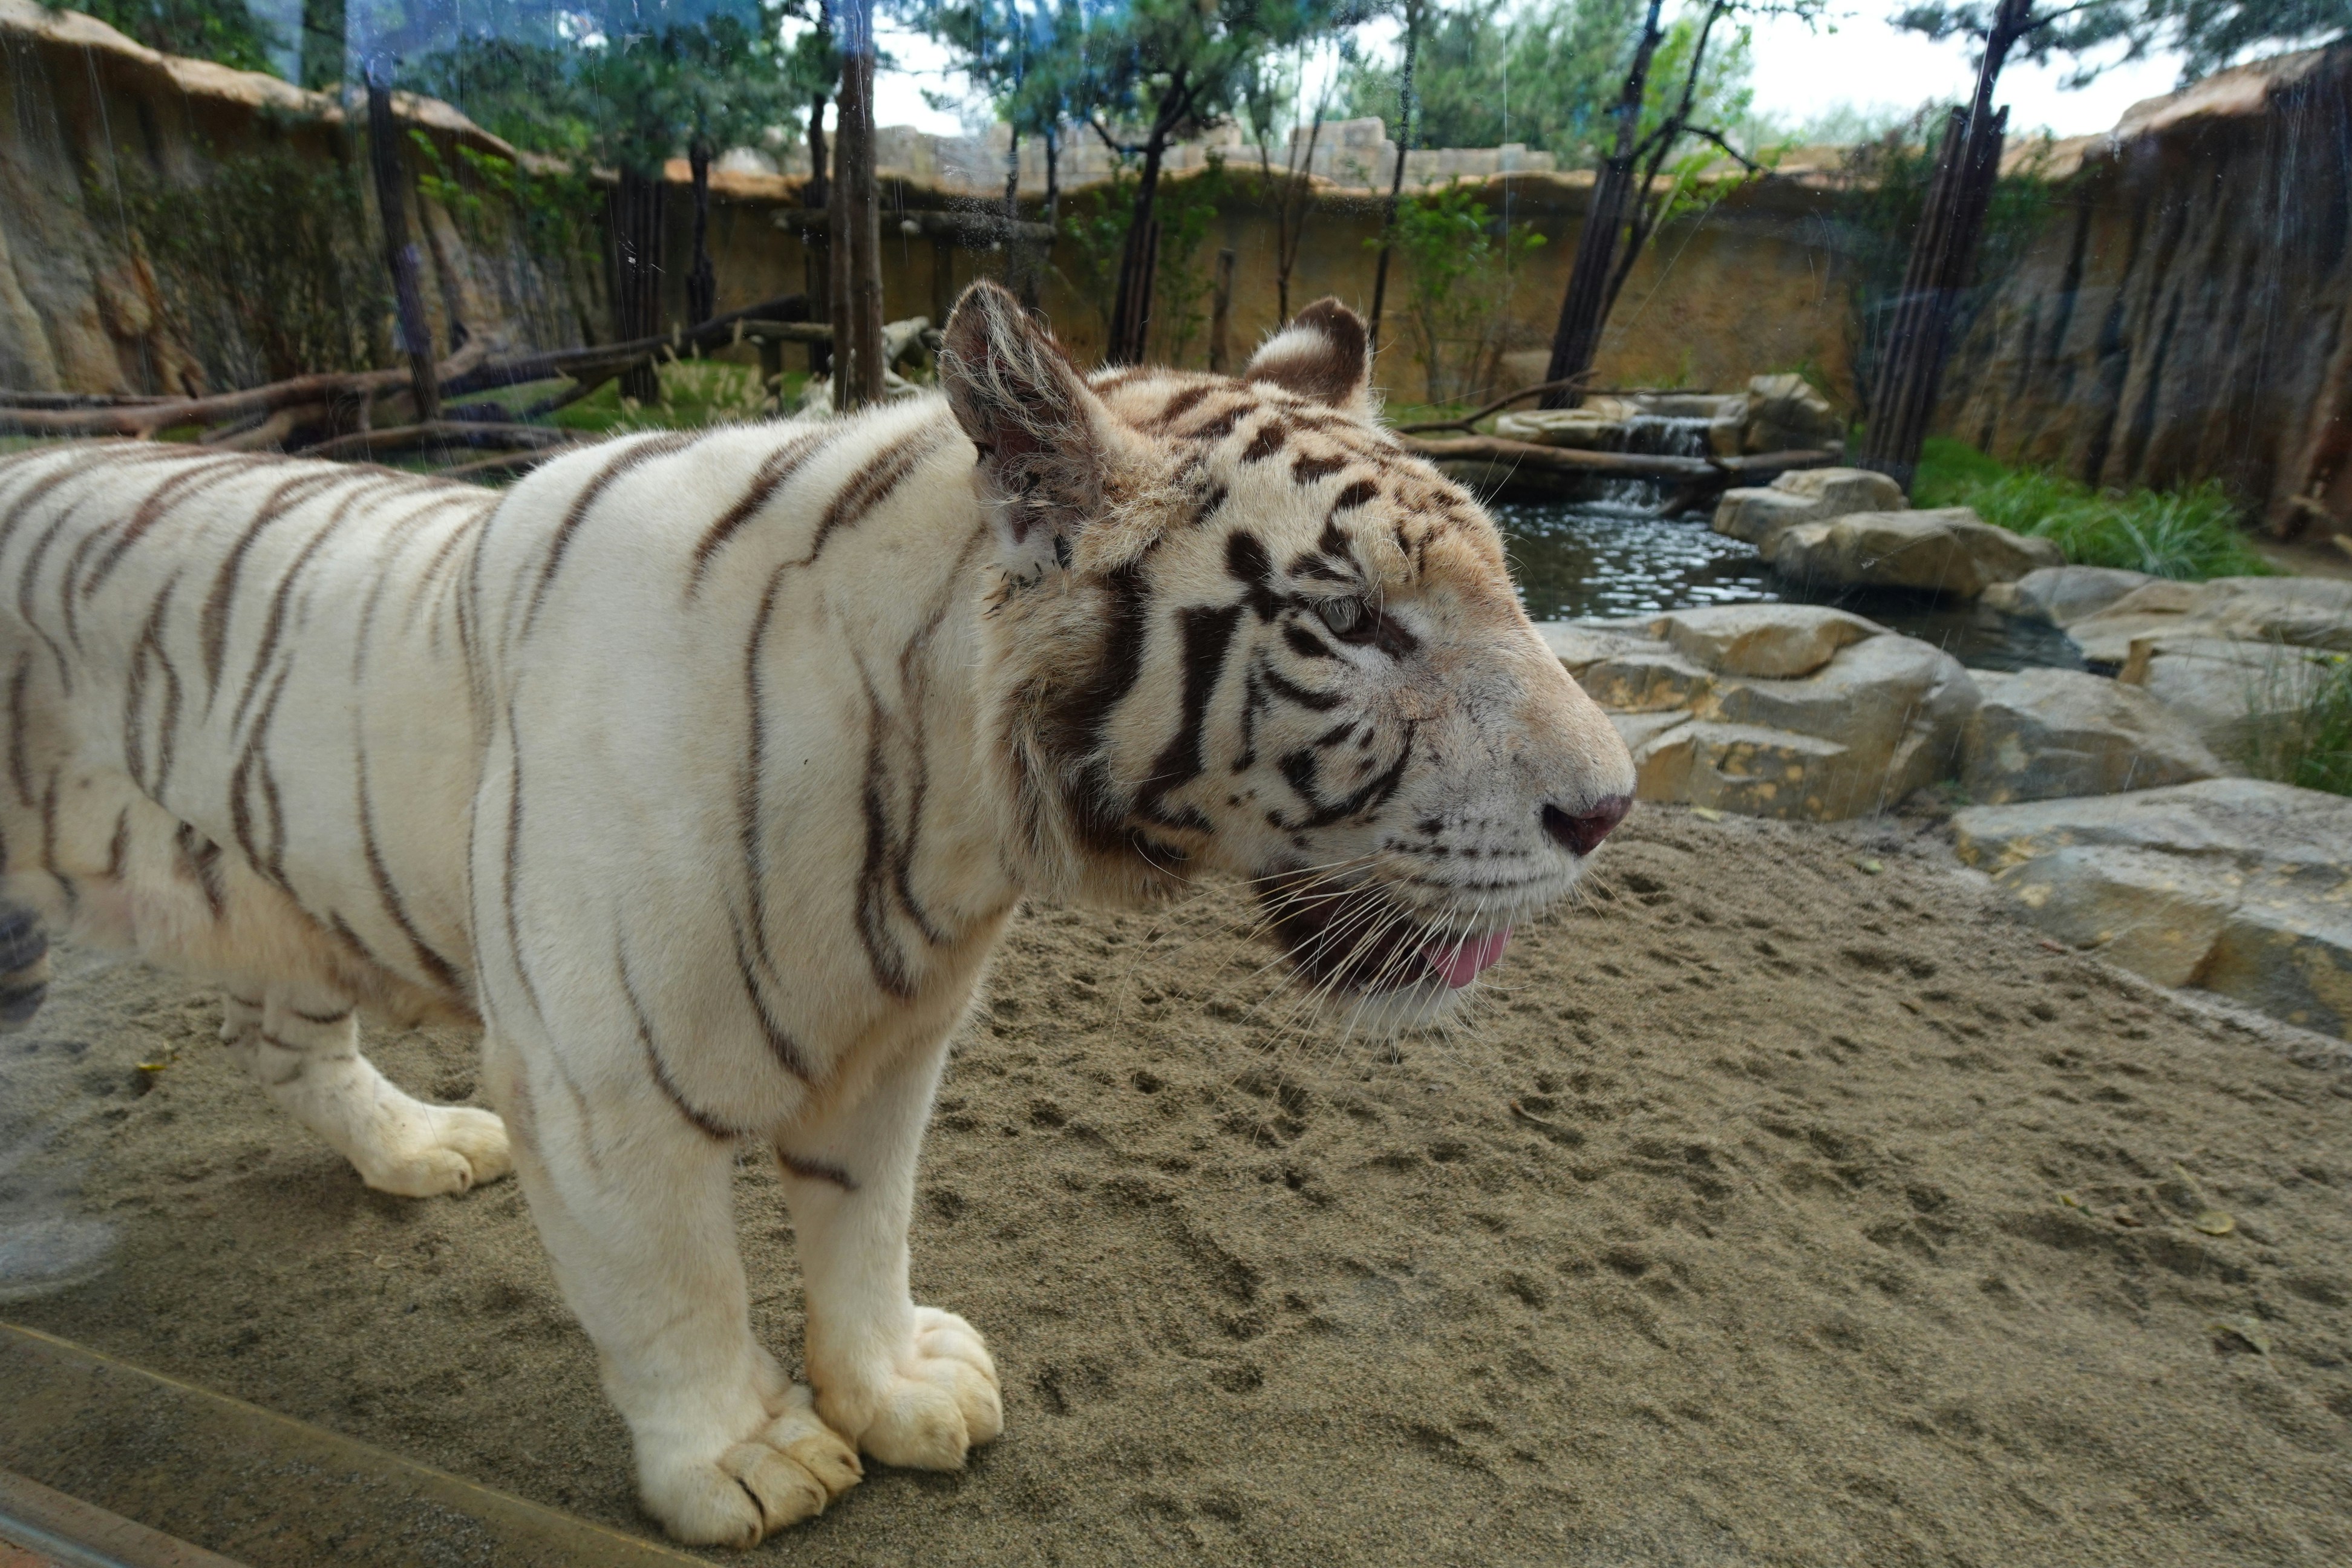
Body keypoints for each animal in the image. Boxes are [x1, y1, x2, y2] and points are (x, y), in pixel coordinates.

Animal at [0, 283, 1634, 1546]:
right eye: (1350, 621)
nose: (1610, 806)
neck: (954, 819)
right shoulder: (596, 1083)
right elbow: (674, 1288)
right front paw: (743, 1458)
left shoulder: (893, 1040)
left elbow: (867, 1231)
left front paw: (898, 1388)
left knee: (282, 1041)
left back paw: (413, 1149)